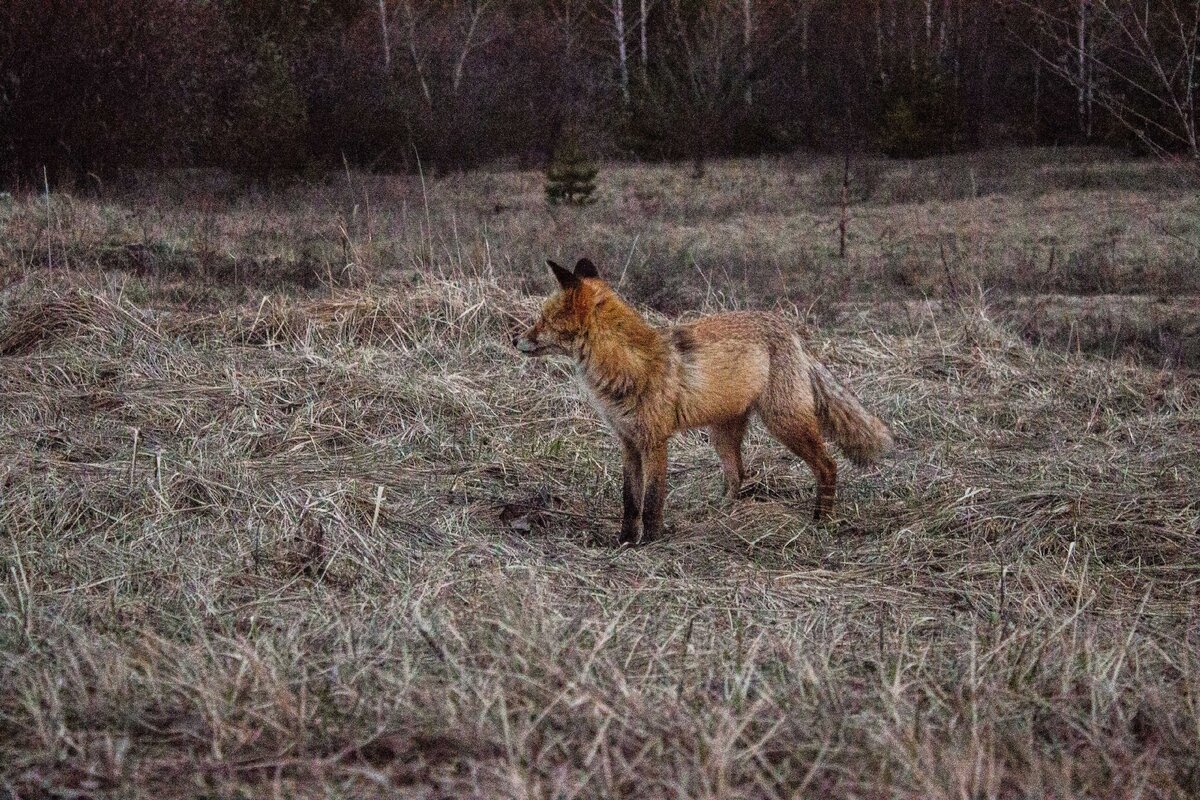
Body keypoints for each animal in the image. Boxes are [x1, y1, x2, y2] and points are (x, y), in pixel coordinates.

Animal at [511, 260, 897, 546]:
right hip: (722, 435)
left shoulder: (655, 441)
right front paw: (623, 541)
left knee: (827, 466)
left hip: (785, 424)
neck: (627, 364)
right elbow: (630, 501)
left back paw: (821, 521)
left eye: (542, 320)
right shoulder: (628, 443)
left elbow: (651, 502)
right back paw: (720, 515)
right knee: (738, 475)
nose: (514, 339)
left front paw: (650, 543)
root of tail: (790, 331)